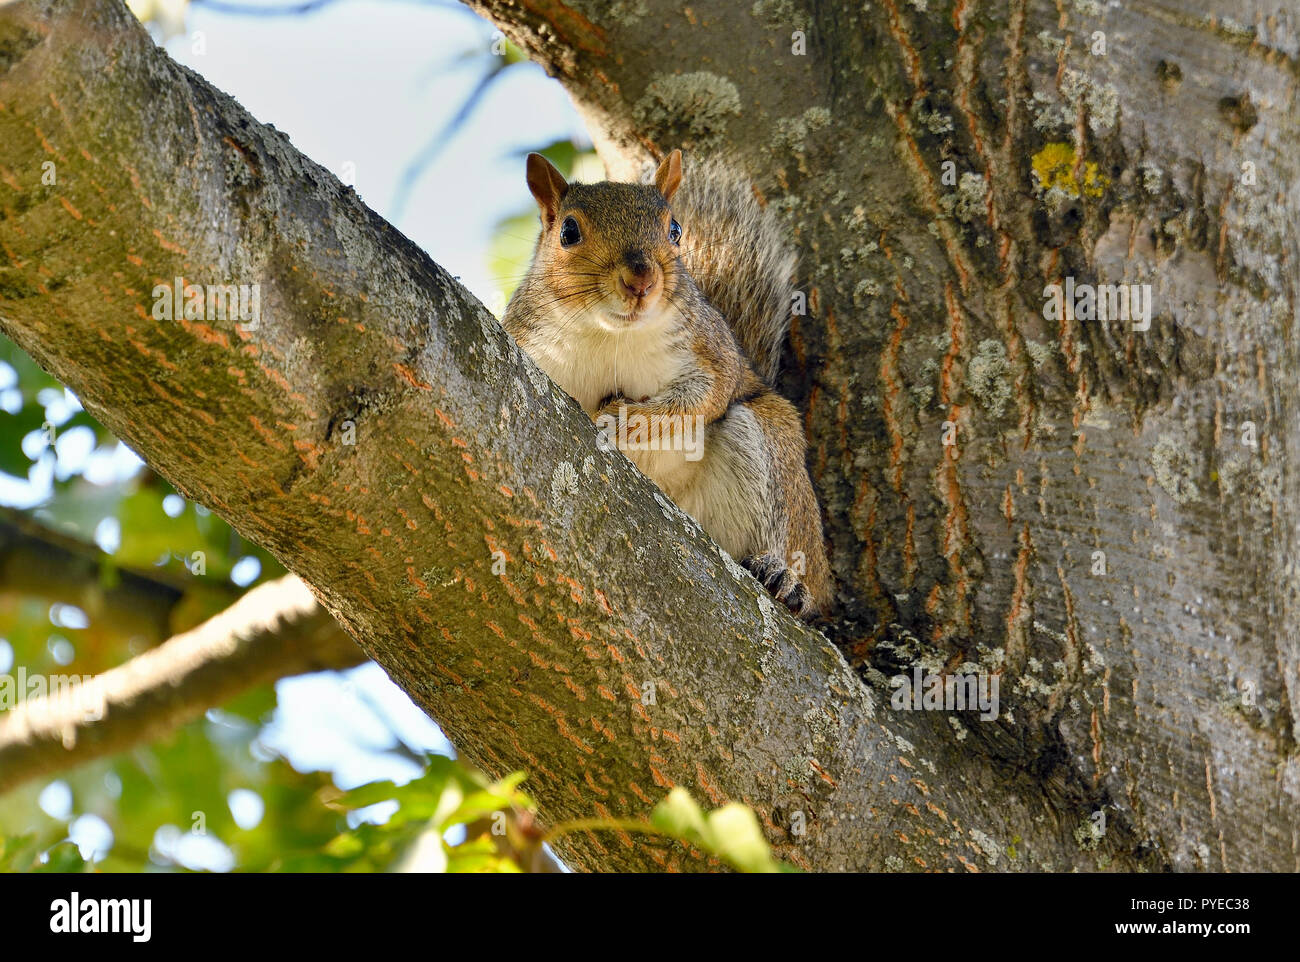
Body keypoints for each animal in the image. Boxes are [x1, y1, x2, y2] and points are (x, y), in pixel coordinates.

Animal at [502, 149, 833, 619]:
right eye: (568, 231)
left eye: (675, 230)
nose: (641, 279)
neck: (610, 336)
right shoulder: (525, 344)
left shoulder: (710, 352)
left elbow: (702, 399)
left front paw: (626, 420)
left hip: (776, 453)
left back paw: (787, 580)